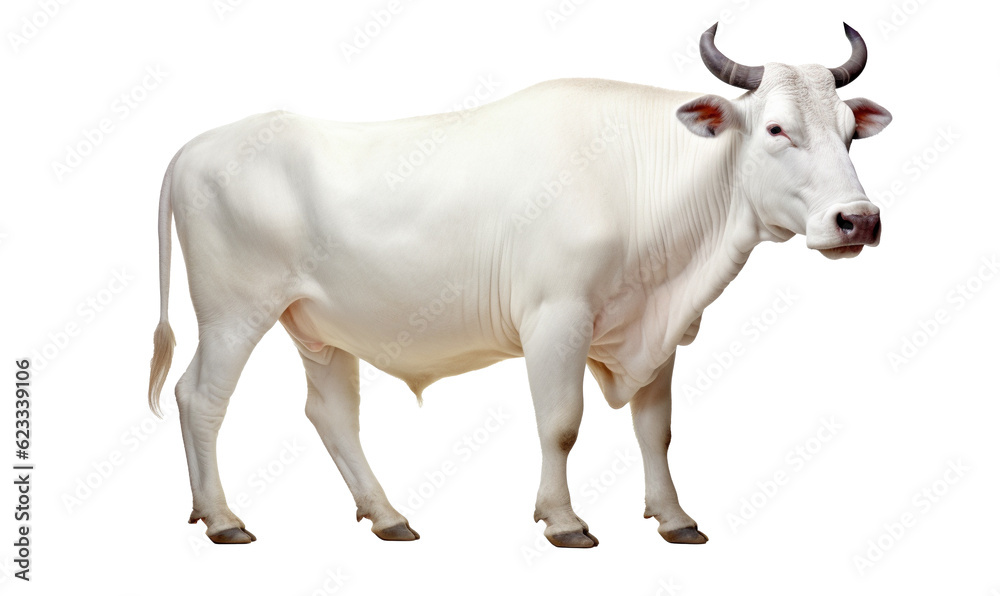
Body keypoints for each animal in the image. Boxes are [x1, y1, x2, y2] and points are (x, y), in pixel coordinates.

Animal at [148, 23, 891, 547]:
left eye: (850, 134)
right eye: (776, 129)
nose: (858, 219)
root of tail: (194, 147)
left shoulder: (659, 327)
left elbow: (656, 429)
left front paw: (675, 517)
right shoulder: (556, 319)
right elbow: (561, 423)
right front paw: (563, 521)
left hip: (316, 325)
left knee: (331, 414)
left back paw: (387, 516)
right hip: (233, 311)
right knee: (200, 397)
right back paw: (221, 517)